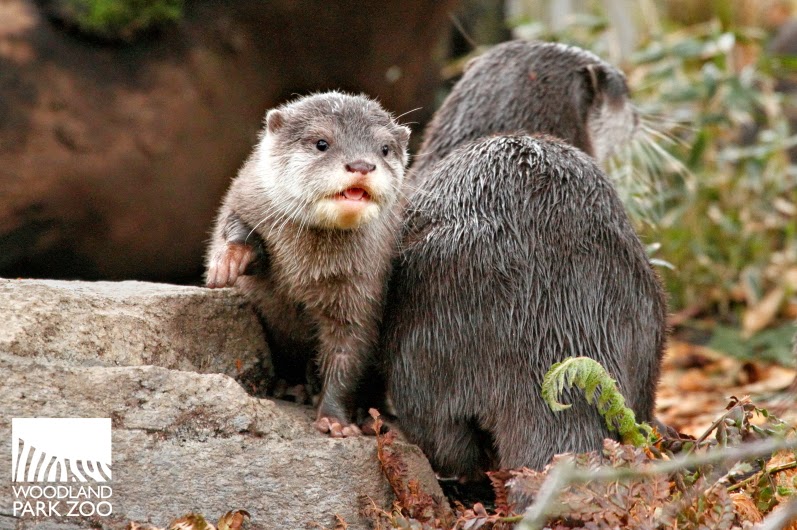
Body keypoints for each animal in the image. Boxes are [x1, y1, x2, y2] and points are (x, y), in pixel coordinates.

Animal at [206, 91, 410, 437]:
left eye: (384, 148)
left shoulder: (361, 290)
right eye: (321, 143)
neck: (306, 270)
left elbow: (348, 355)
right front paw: (230, 260)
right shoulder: (244, 198)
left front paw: (335, 419)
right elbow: (236, 227)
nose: (361, 165)